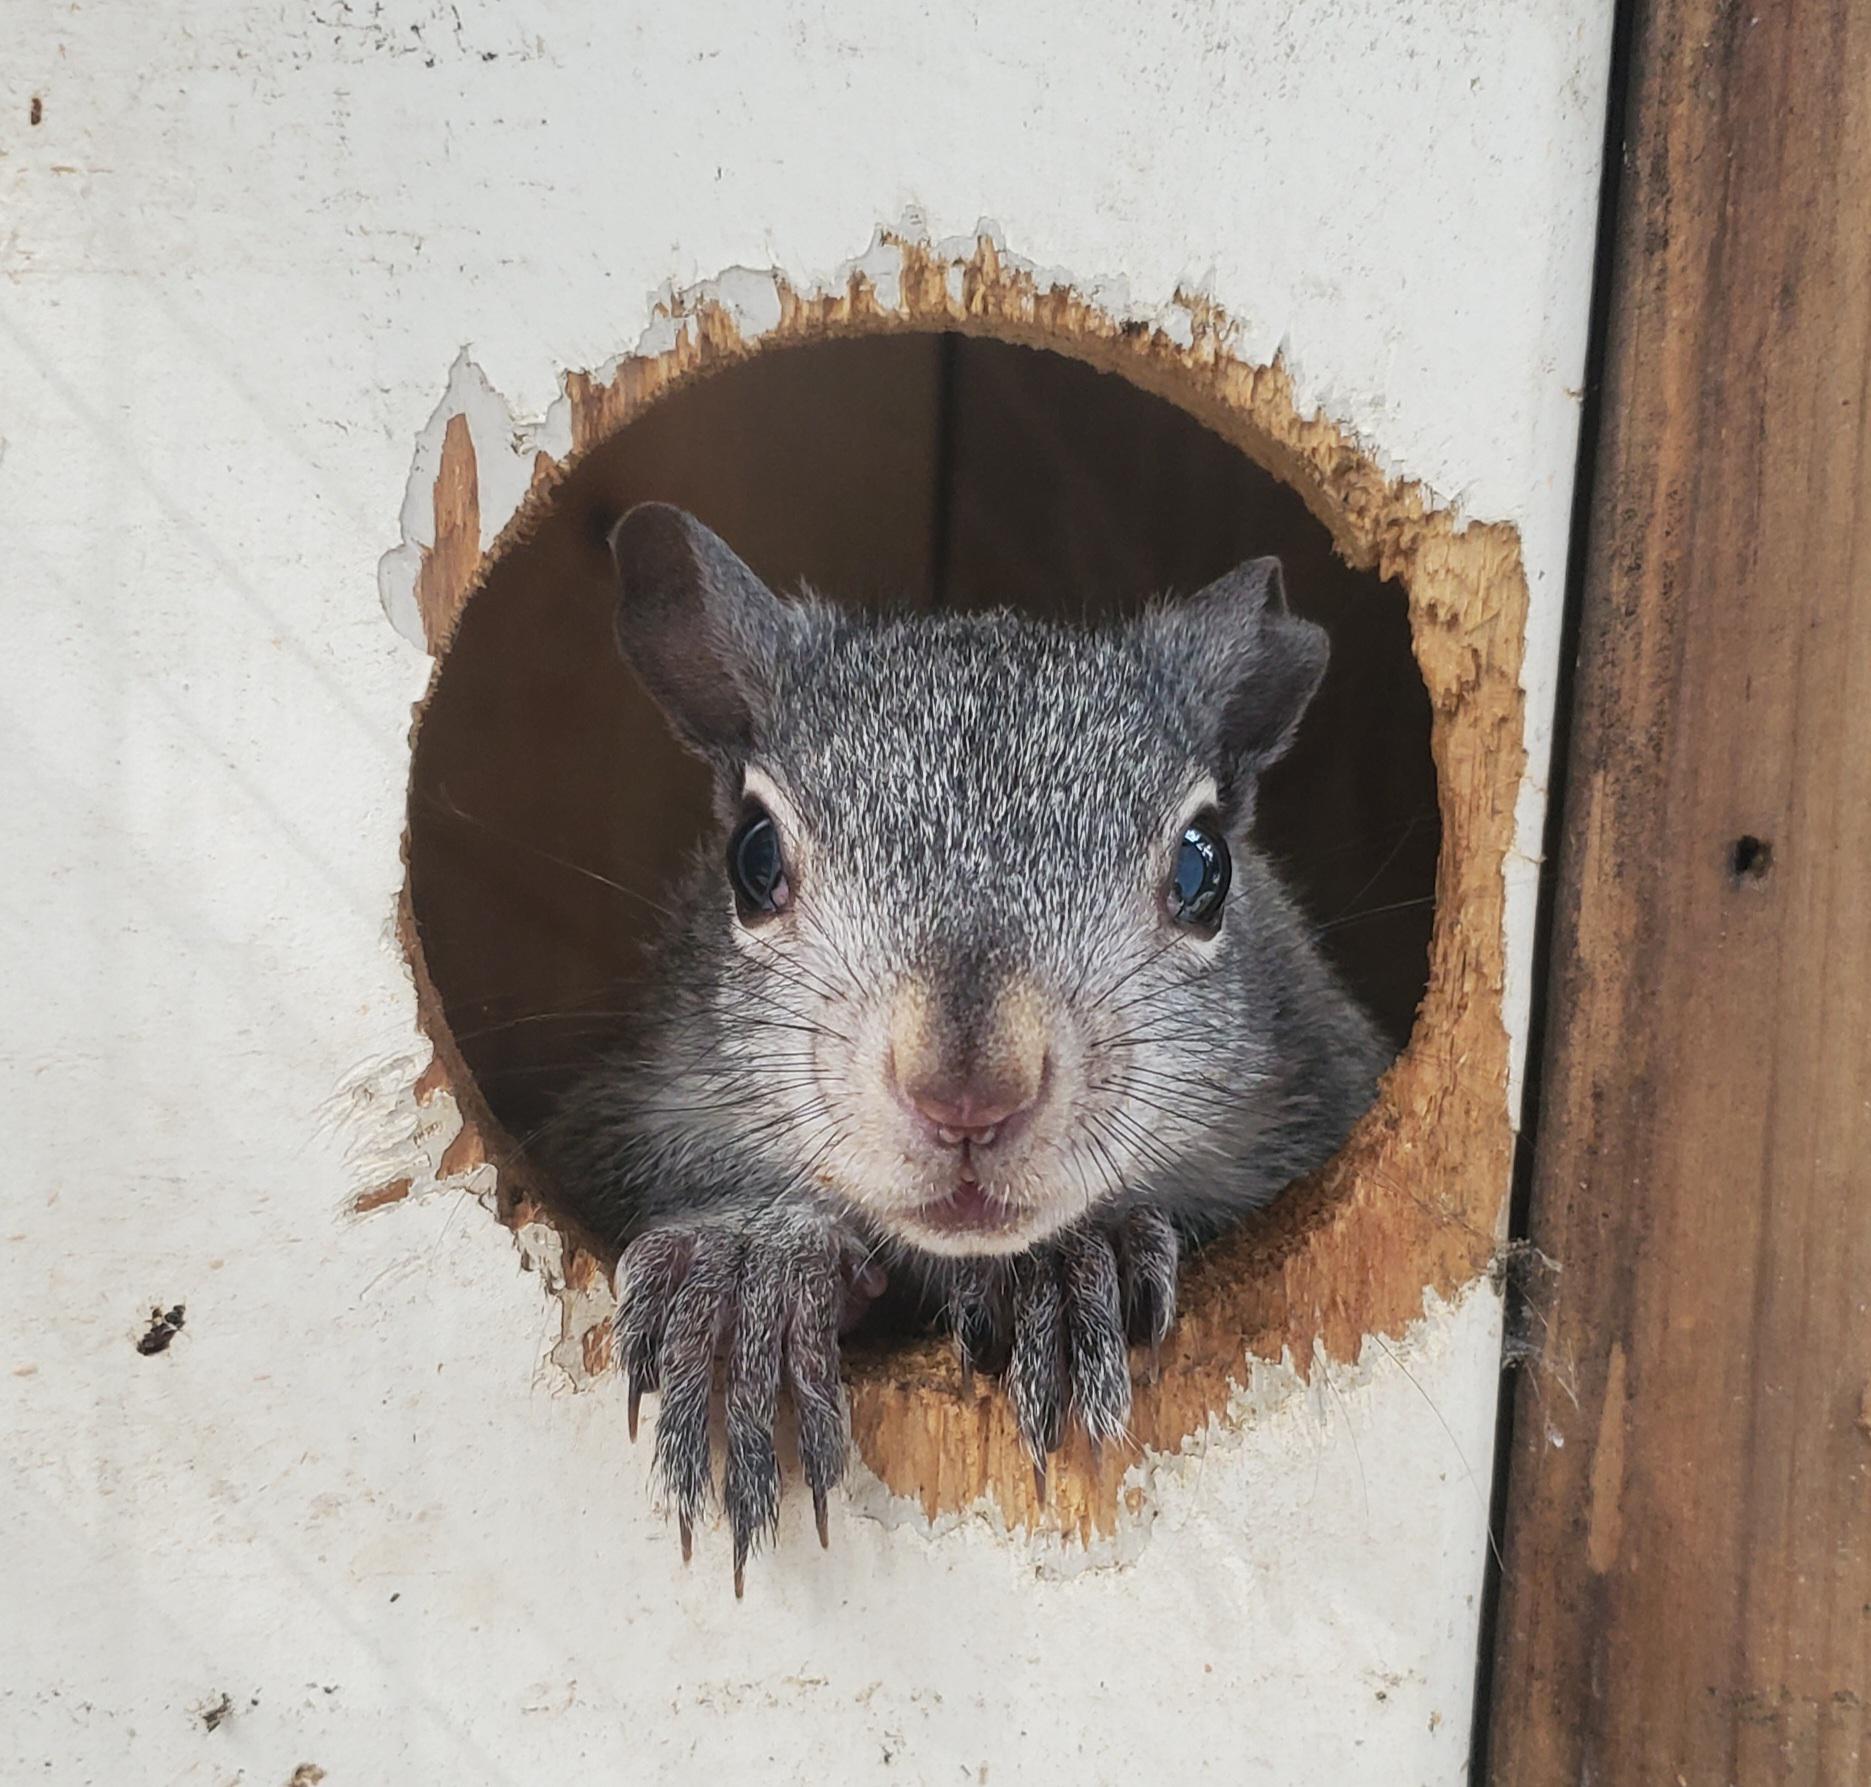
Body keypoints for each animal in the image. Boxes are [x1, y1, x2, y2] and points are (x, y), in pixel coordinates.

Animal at [540, 503, 1389, 1594]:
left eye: (1204, 868)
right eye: (753, 856)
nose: (967, 1095)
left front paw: (1075, 1262)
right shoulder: (627, 1109)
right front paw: (753, 1264)